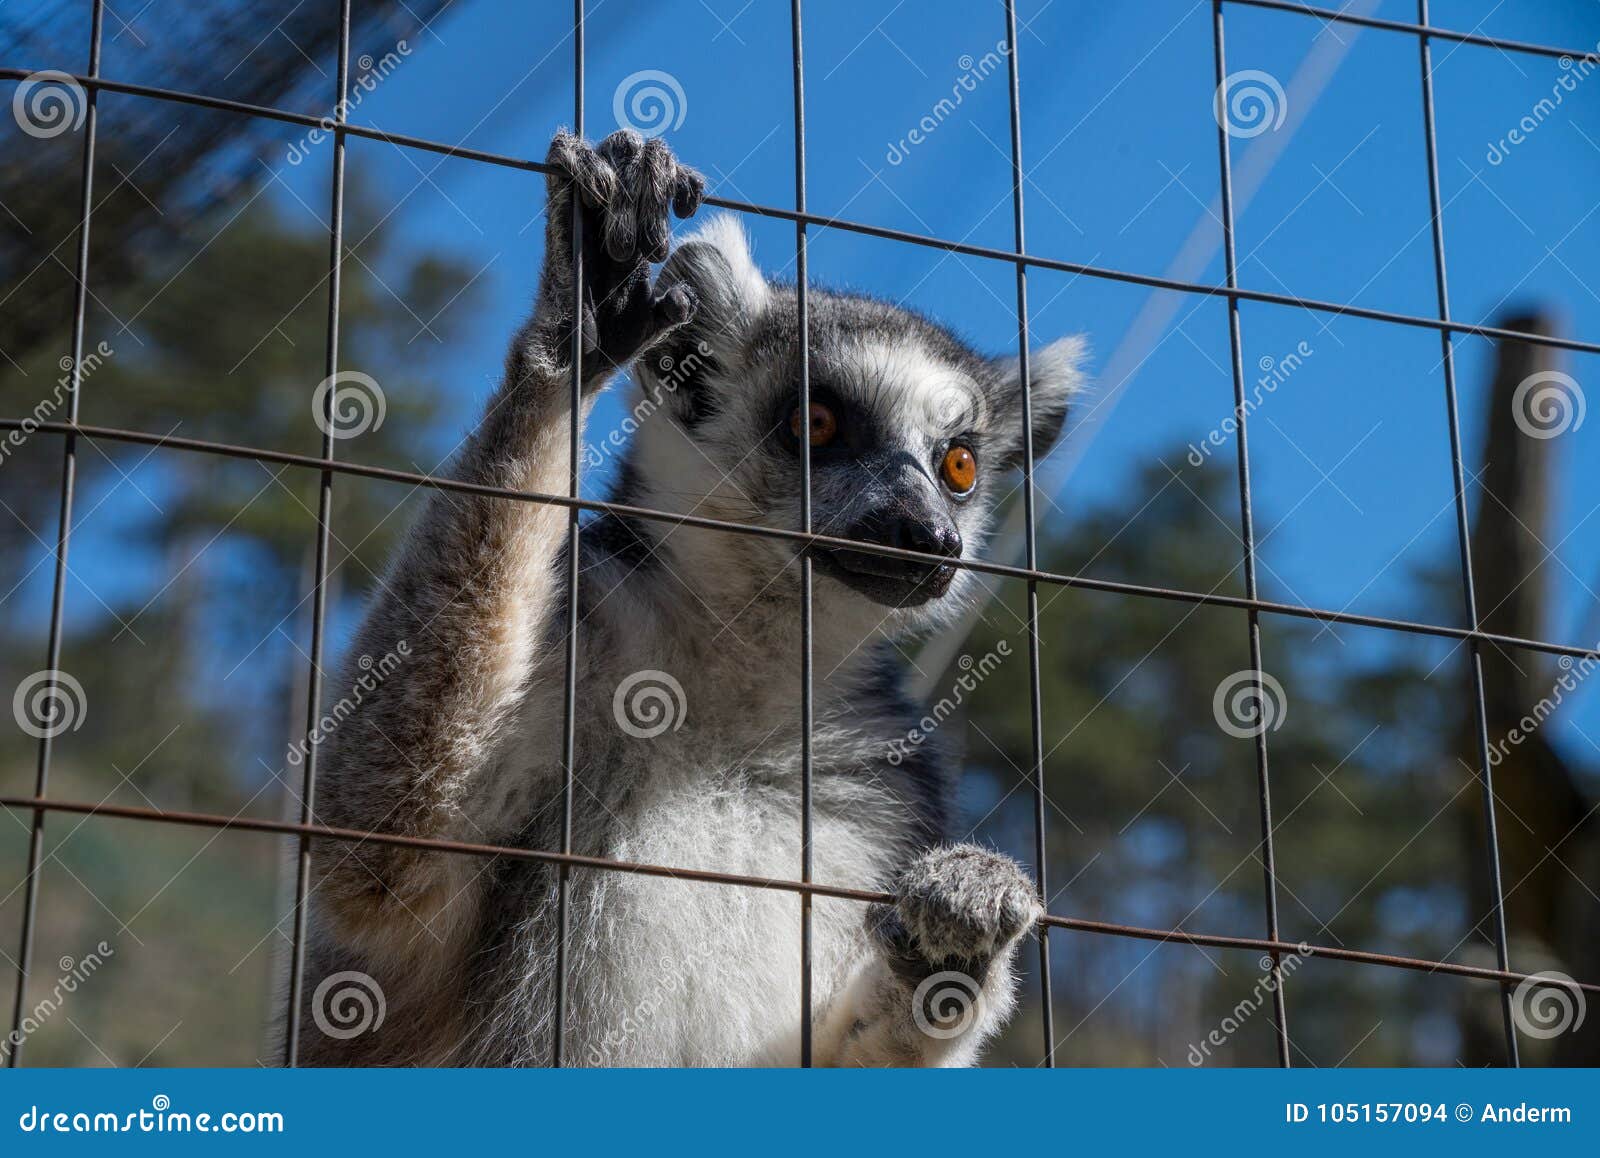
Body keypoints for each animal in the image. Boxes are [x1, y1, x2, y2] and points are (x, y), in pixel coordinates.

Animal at [297, 129, 1084, 1066]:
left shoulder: (890, 788)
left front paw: (954, 940)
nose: (926, 536)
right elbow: (381, 856)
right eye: (815, 424)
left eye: (958, 465)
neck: (744, 677)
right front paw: (576, 324)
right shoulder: (586, 628)